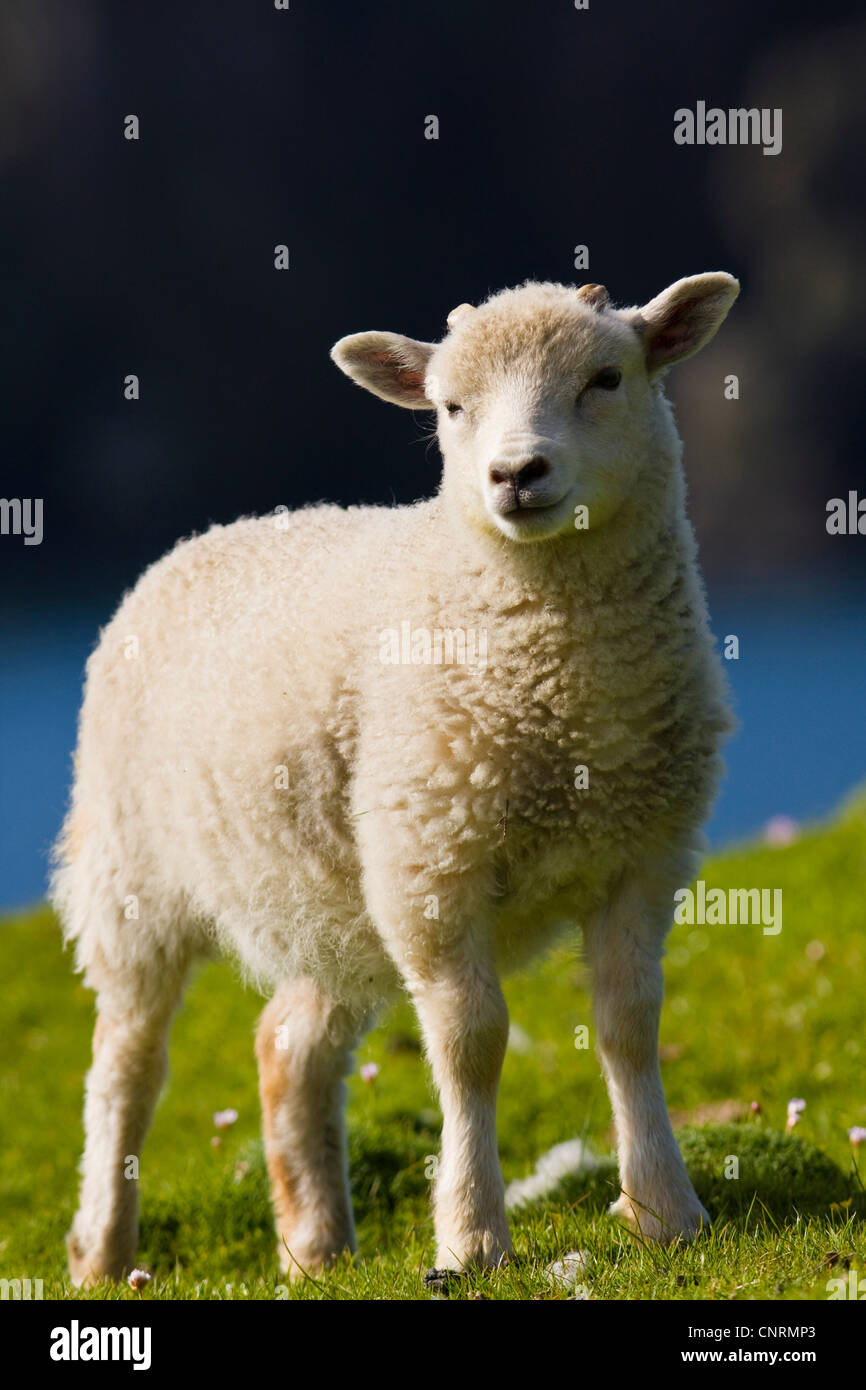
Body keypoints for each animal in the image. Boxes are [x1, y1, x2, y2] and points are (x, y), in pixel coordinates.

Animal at [52, 272, 739, 1287]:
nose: (515, 475)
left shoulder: (643, 860)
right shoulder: (433, 872)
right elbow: (470, 1046)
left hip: (334, 895)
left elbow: (628, 1024)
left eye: (607, 379)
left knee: (287, 1046)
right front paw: (472, 1236)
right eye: (450, 407)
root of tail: (212, 532)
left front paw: (665, 1212)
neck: (571, 702)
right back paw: (101, 1247)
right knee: (124, 1067)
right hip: (133, 877)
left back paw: (316, 1249)